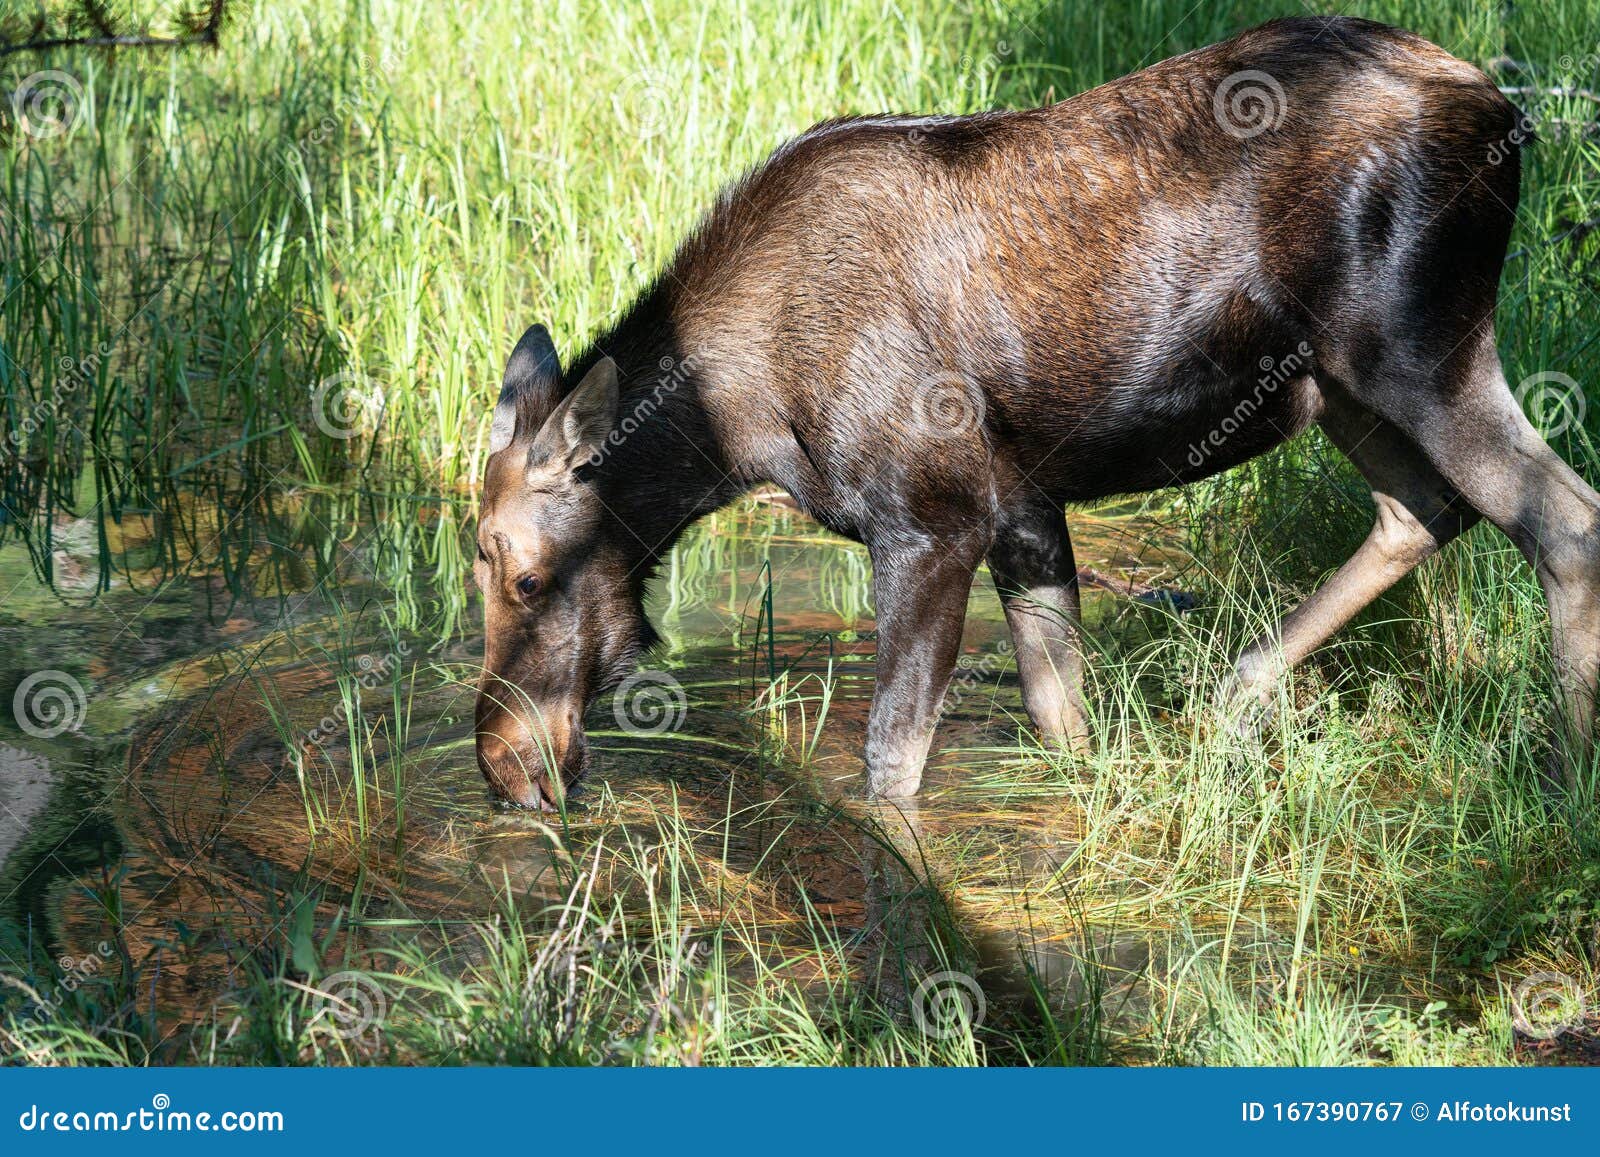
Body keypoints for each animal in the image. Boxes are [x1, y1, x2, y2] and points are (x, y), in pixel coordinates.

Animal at [472, 16, 1600, 811]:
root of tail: (1507, 114)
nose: (499, 762)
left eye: (526, 574)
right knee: (1423, 509)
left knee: (1561, 518)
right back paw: (1231, 694)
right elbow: (1062, 720)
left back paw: (1562, 773)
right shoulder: (1023, 511)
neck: (739, 426)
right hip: (1338, 386)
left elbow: (890, 764)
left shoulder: (932, 518)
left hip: (1419, 349)